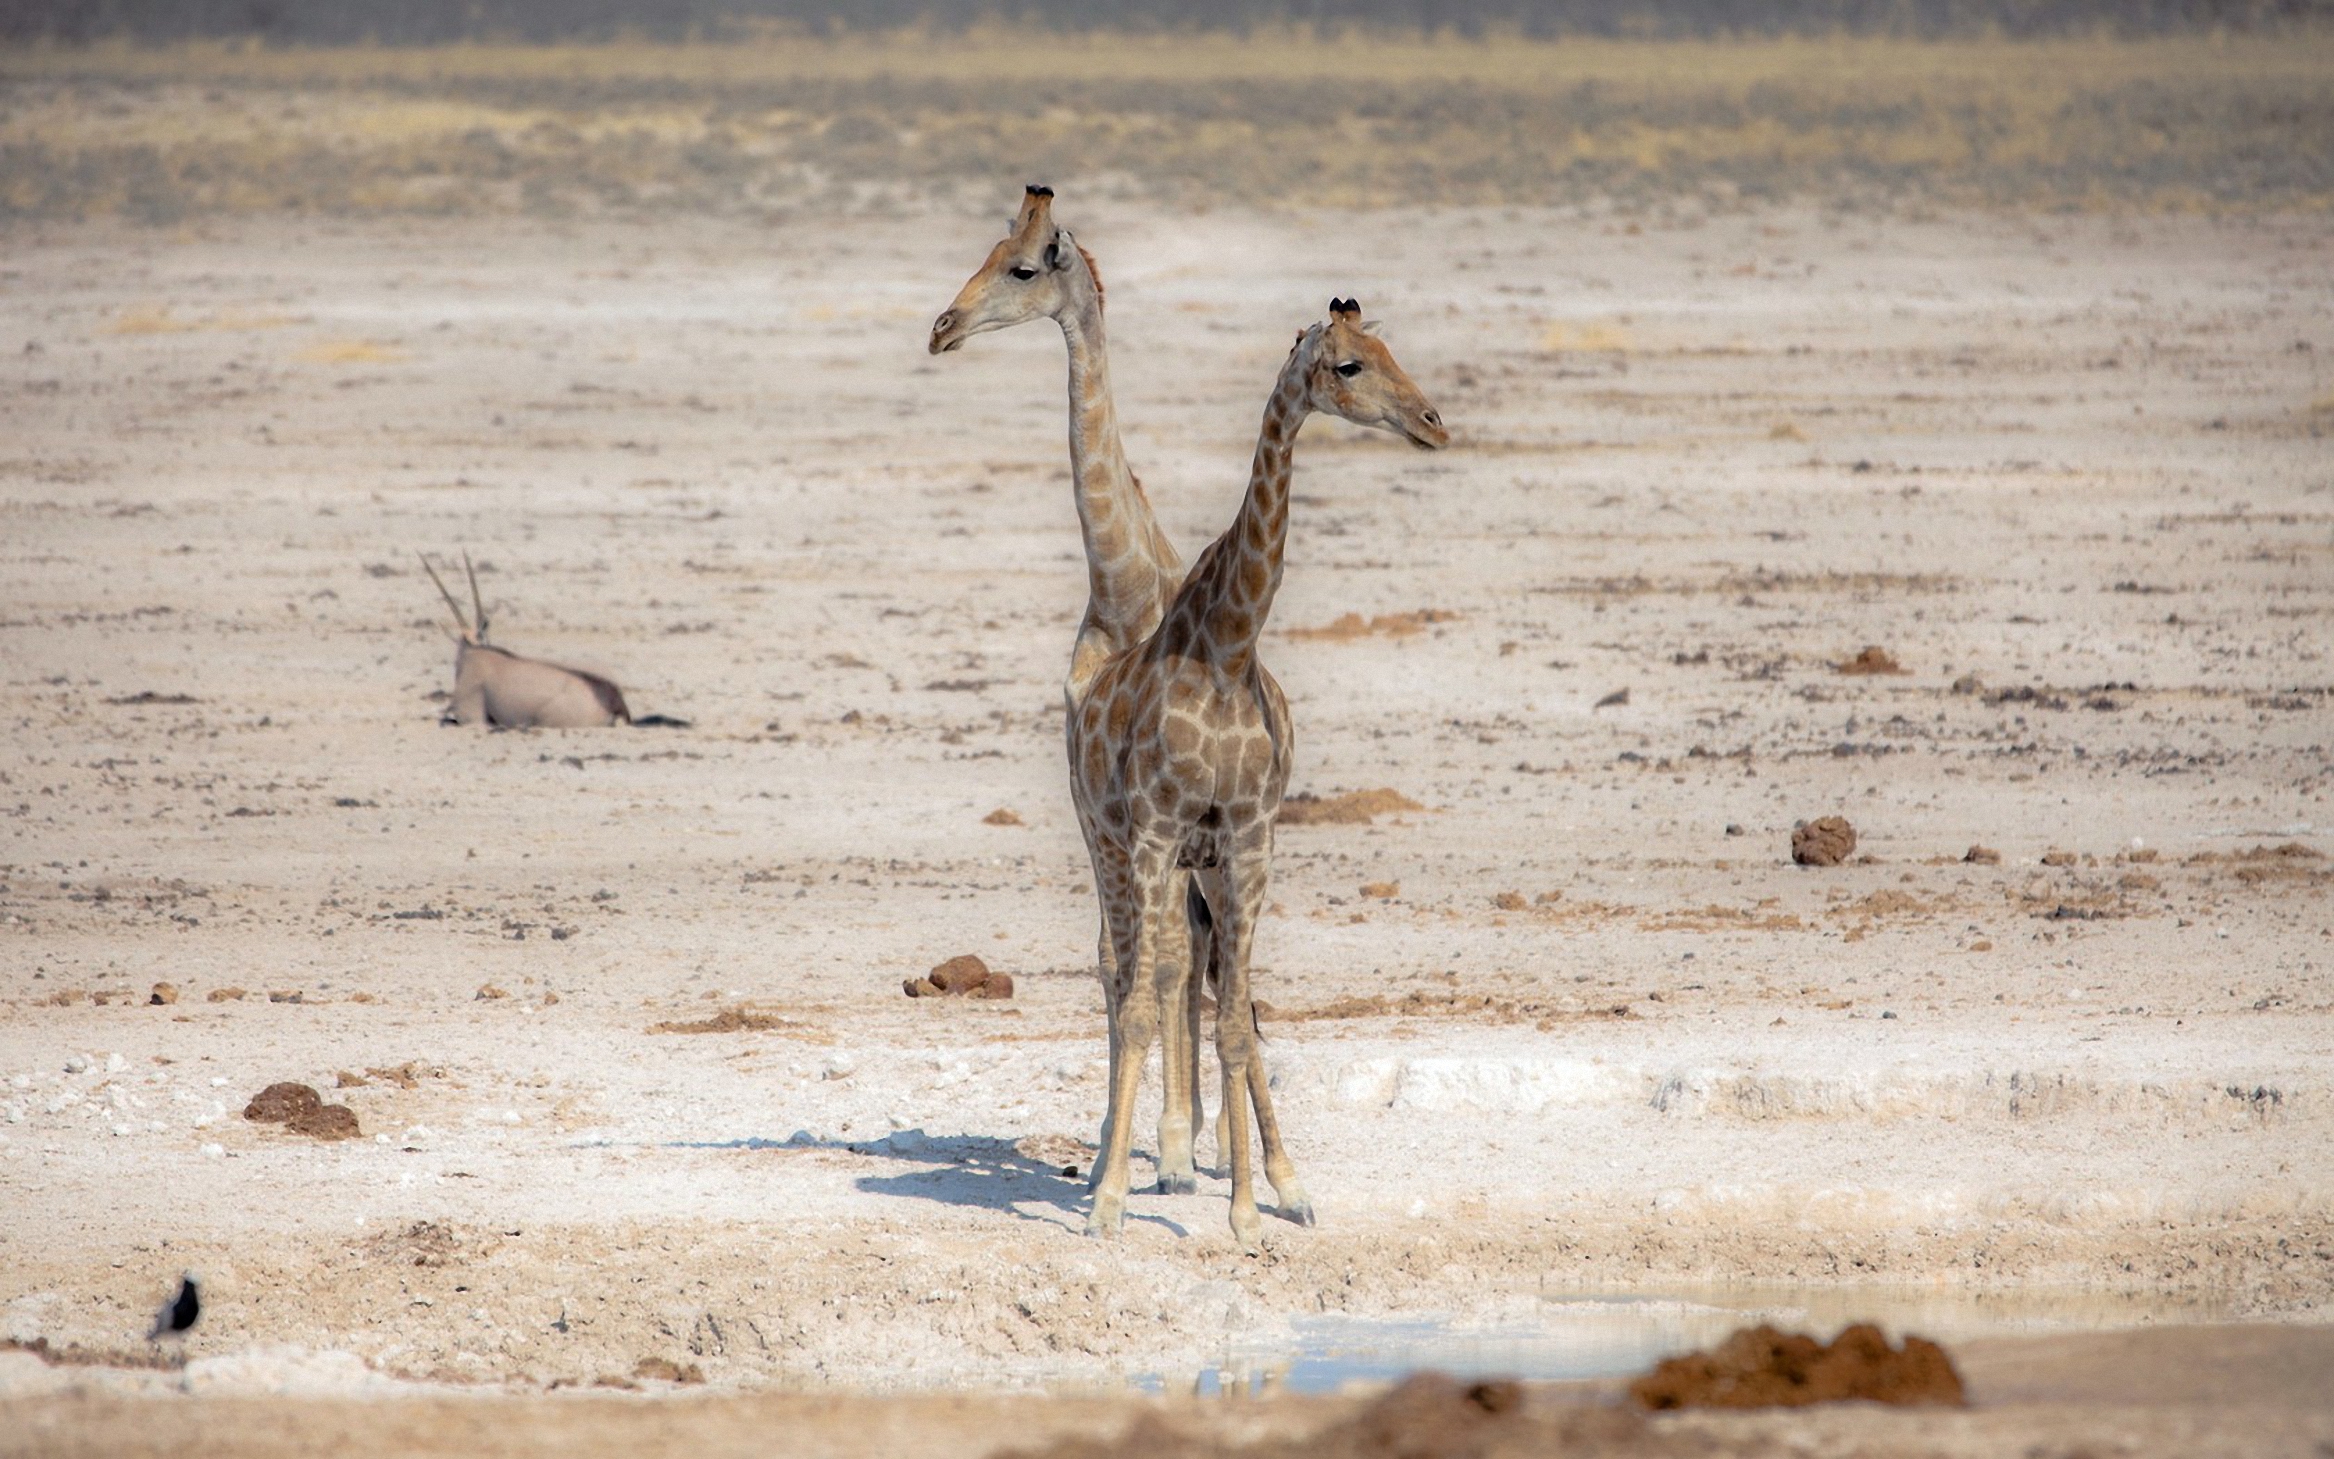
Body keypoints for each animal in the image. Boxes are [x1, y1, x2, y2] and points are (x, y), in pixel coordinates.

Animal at [1073, 300, 1448, 1250]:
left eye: (1391, 349)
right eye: (1350, 365)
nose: (1434, 422)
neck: (1228, 645)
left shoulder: (1247, 839)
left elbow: (1240, 1027)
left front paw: (1253, 1207)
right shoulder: (1156, 833)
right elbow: (1147, 1007)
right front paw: (1108, 1206)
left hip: (1200, 866)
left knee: (1214, 994)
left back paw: (1270, 1180)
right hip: (1108, 847)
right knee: (1123, 981)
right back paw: (1104, 1174)